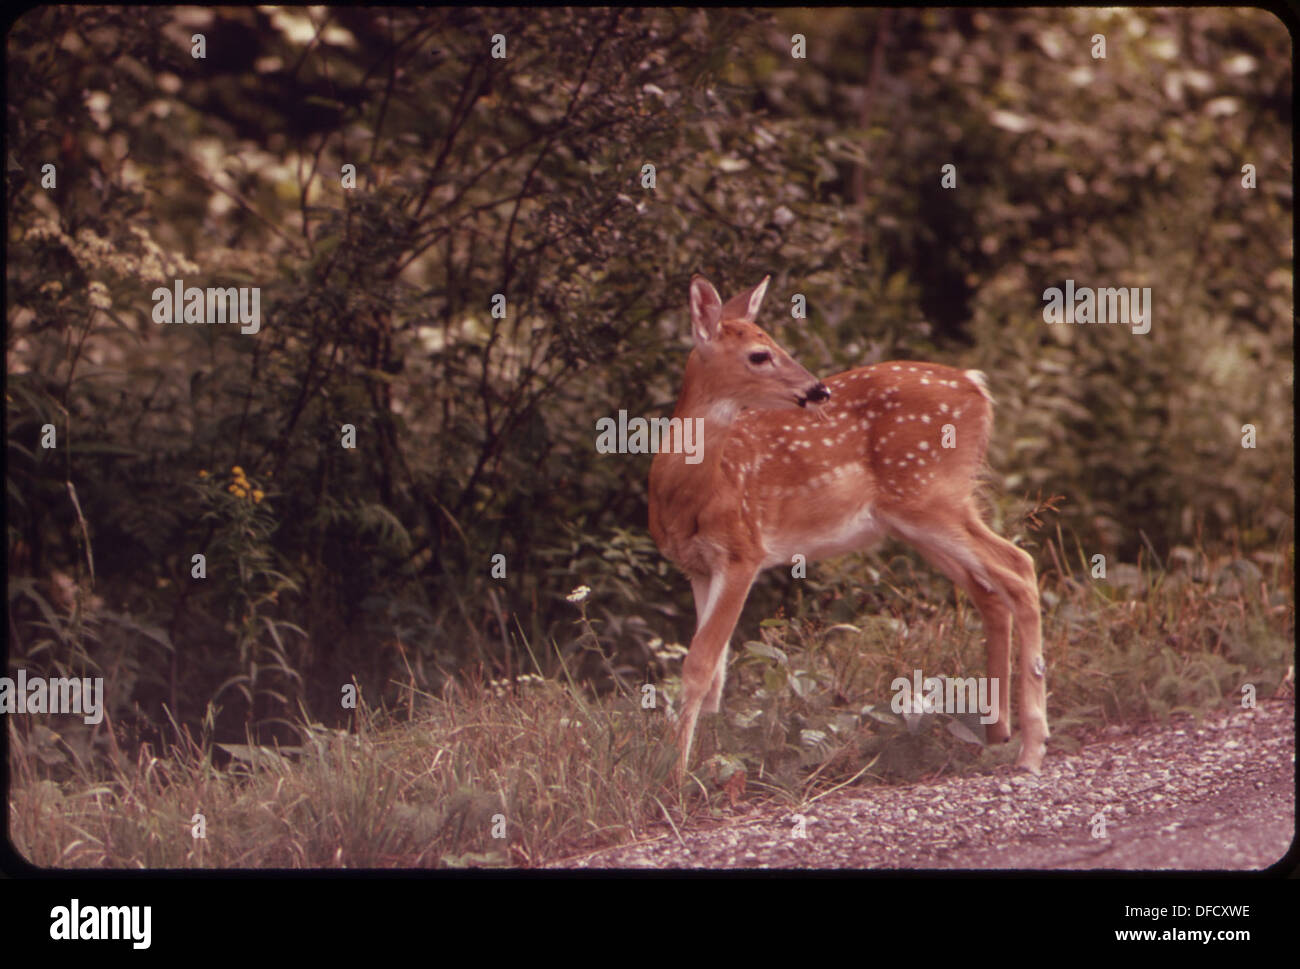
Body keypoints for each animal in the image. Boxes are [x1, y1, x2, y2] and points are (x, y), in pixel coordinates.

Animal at [648, 274, 1048, 782]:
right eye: (759, 354)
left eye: (775, 342)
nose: (817, 390)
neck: (693, 491)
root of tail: (978, 387)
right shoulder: (697, 567)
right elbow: (716, 675)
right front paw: (707, 762)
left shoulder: (744, 550)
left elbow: (699, 666)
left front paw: (678, 776)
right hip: (915, 519)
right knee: (991, 591)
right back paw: (998, 732)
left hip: (932, 496)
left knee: (1019, 566)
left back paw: (1032, 747)